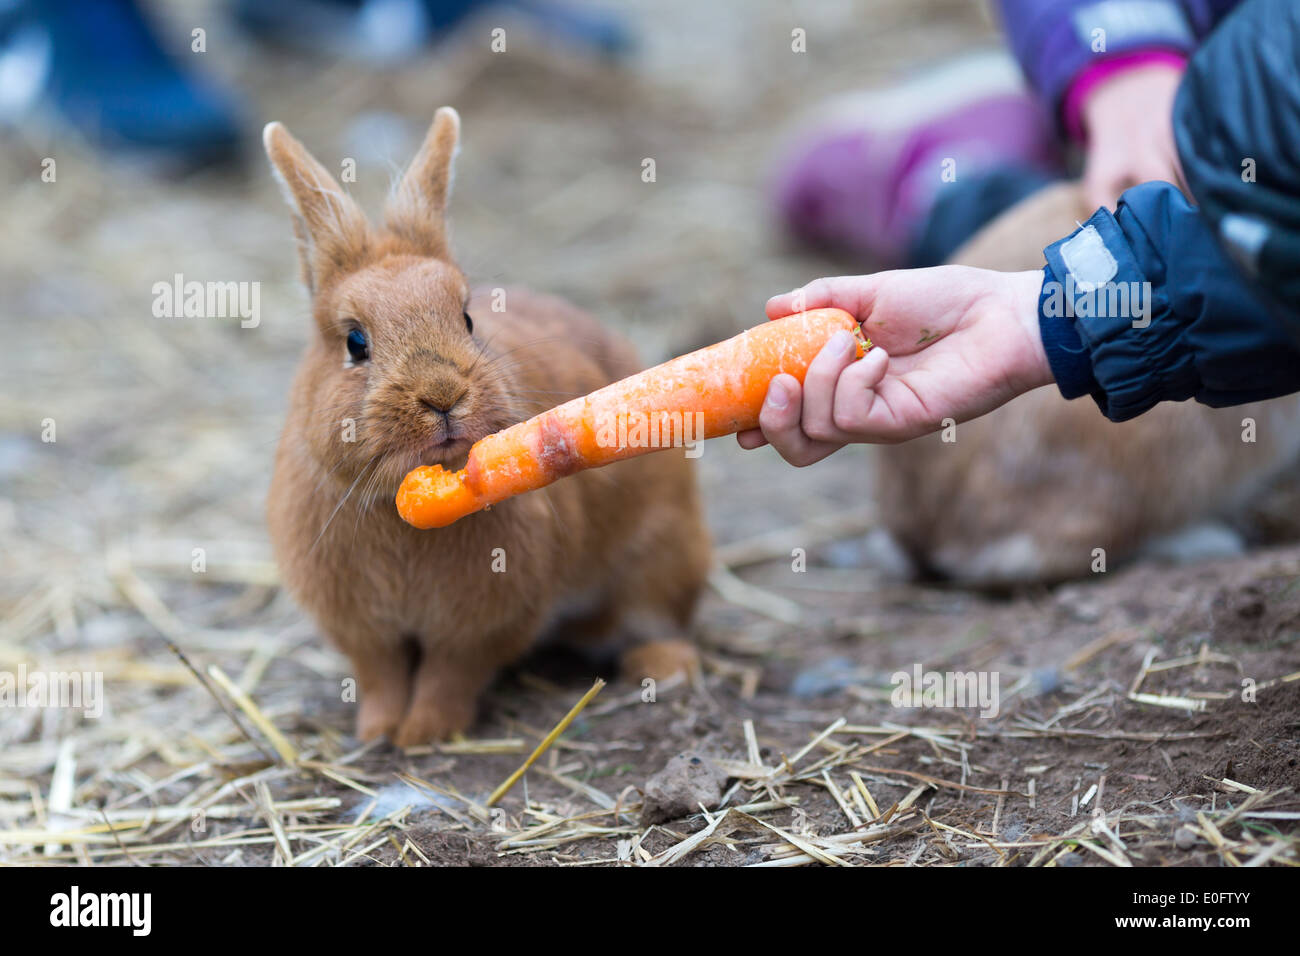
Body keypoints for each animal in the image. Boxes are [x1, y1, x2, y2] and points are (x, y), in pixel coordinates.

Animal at [262, 108, 711, 745]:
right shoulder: (364, 632)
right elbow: (382, 676)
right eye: (354, 342)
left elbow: (449, 674)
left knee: (657, 616)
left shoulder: (482, 626)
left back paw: (662, 667)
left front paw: (424, 732)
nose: (443, 395)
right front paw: (379, 731)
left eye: (468, 319)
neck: (406, 507)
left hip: (661, 554)